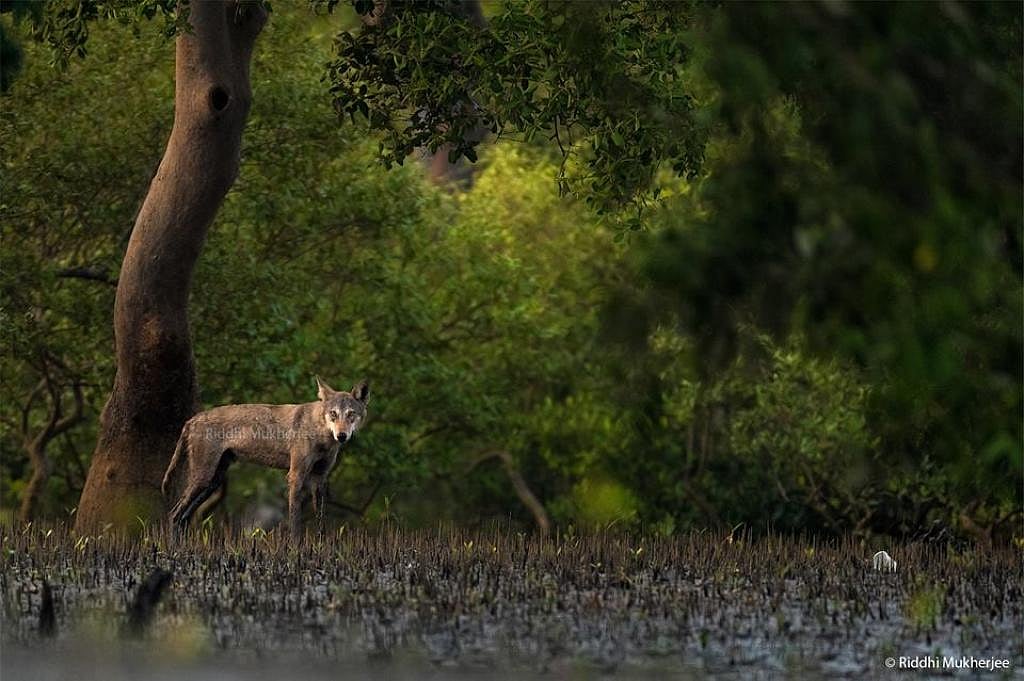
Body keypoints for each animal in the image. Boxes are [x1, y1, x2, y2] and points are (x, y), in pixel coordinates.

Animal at [162, 376, 369, 540]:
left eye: (351, 414)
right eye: (333, 414)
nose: (341, 436)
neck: (321, 435)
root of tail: (192, 419)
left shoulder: (319, 479)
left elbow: (320, 522)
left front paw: (319, 549)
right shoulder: (295, 476)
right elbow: (295, 523)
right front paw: (295, 551)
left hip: (213, 482)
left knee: (183, 518)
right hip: (203, 479)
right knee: (174, 515)